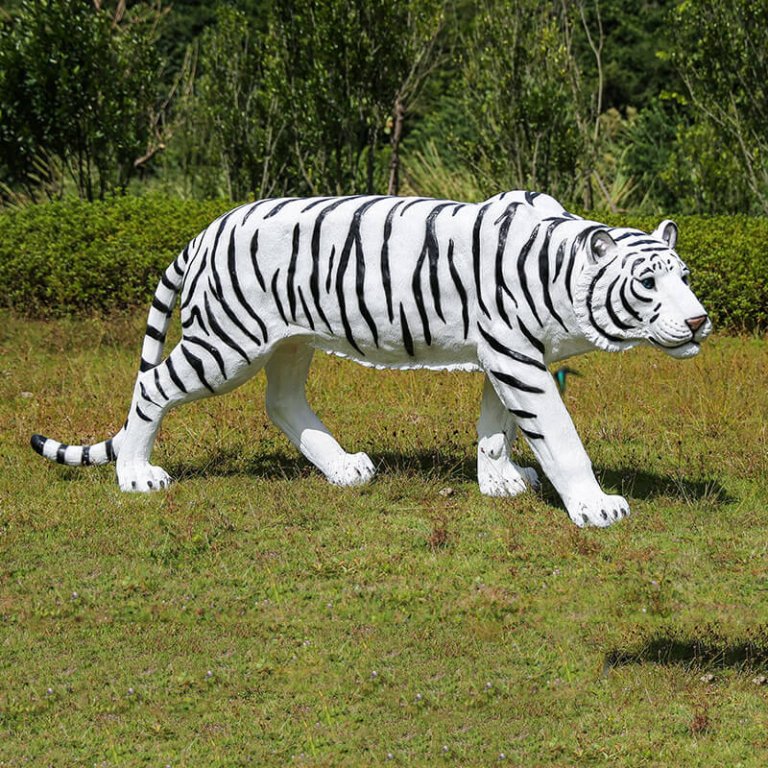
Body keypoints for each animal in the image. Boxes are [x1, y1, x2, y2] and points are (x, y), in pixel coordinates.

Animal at [31, 190, 712, 527]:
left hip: (289, 341)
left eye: (682, 276)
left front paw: (500, 481)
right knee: (153, 387)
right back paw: (136, 475)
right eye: (648, 282)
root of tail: (203, 230)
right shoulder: (518, 357)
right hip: (225, 346)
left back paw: (345, 469)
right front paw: (595, 507)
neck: (558, 269)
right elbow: (560, 437)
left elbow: (496, 427)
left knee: (282, 402)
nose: (700, 320)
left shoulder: (508, 352)